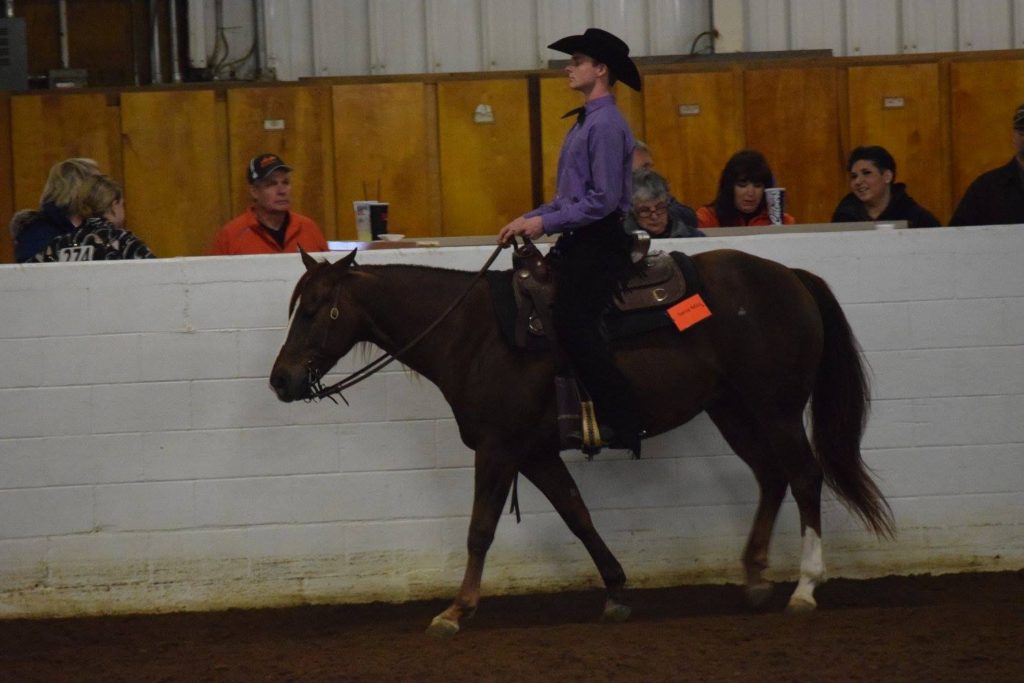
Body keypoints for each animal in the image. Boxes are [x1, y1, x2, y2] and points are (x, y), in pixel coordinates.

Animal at [270, 246, 894, 637]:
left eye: (317, 310)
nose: (281, 380)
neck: (471, 333)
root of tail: (790, 275)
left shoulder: (498, 448)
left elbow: (480, 530)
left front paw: (456, 611)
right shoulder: (535, 451)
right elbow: (577, 514)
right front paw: (616, 592)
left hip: (776, 408)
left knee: (805, 476)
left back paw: (804, 589)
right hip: (732, 410)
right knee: (771, 476)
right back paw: (757, 577)